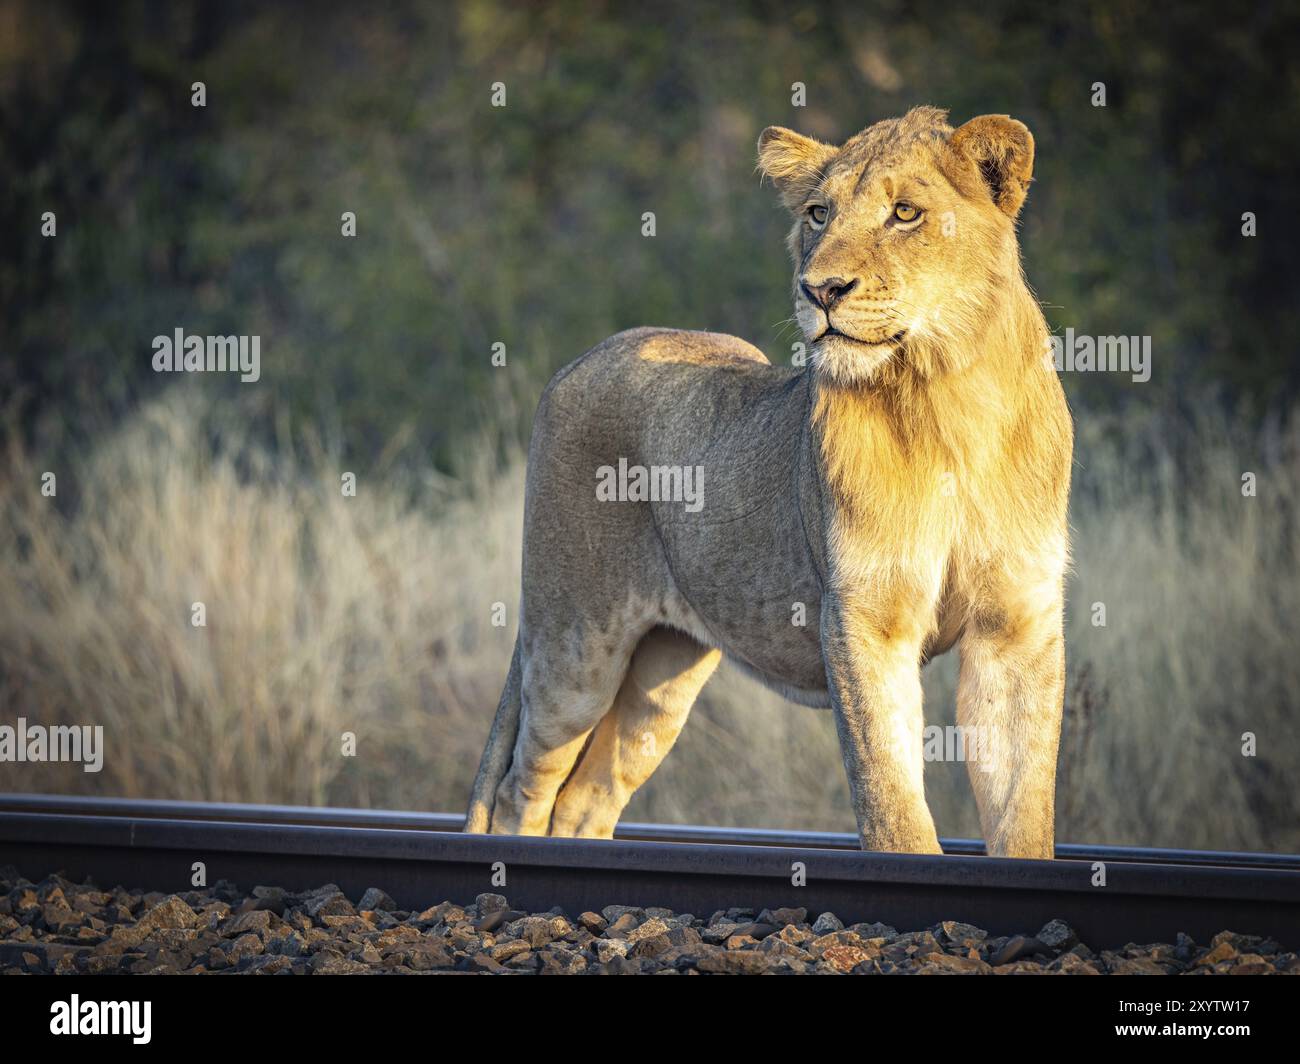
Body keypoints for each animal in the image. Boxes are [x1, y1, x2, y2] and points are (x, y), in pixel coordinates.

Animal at [465, 107, 1072, 858]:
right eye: (818, 213)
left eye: (905, 213)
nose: (821, 290)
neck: (949, 399)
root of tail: (581, 358)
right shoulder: (862, 618)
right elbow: (891, 799)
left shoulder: (1016, 624)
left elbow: (1024, 809)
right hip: (575, 642)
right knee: (523, 789)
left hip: (662, 671)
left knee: (585, 799)